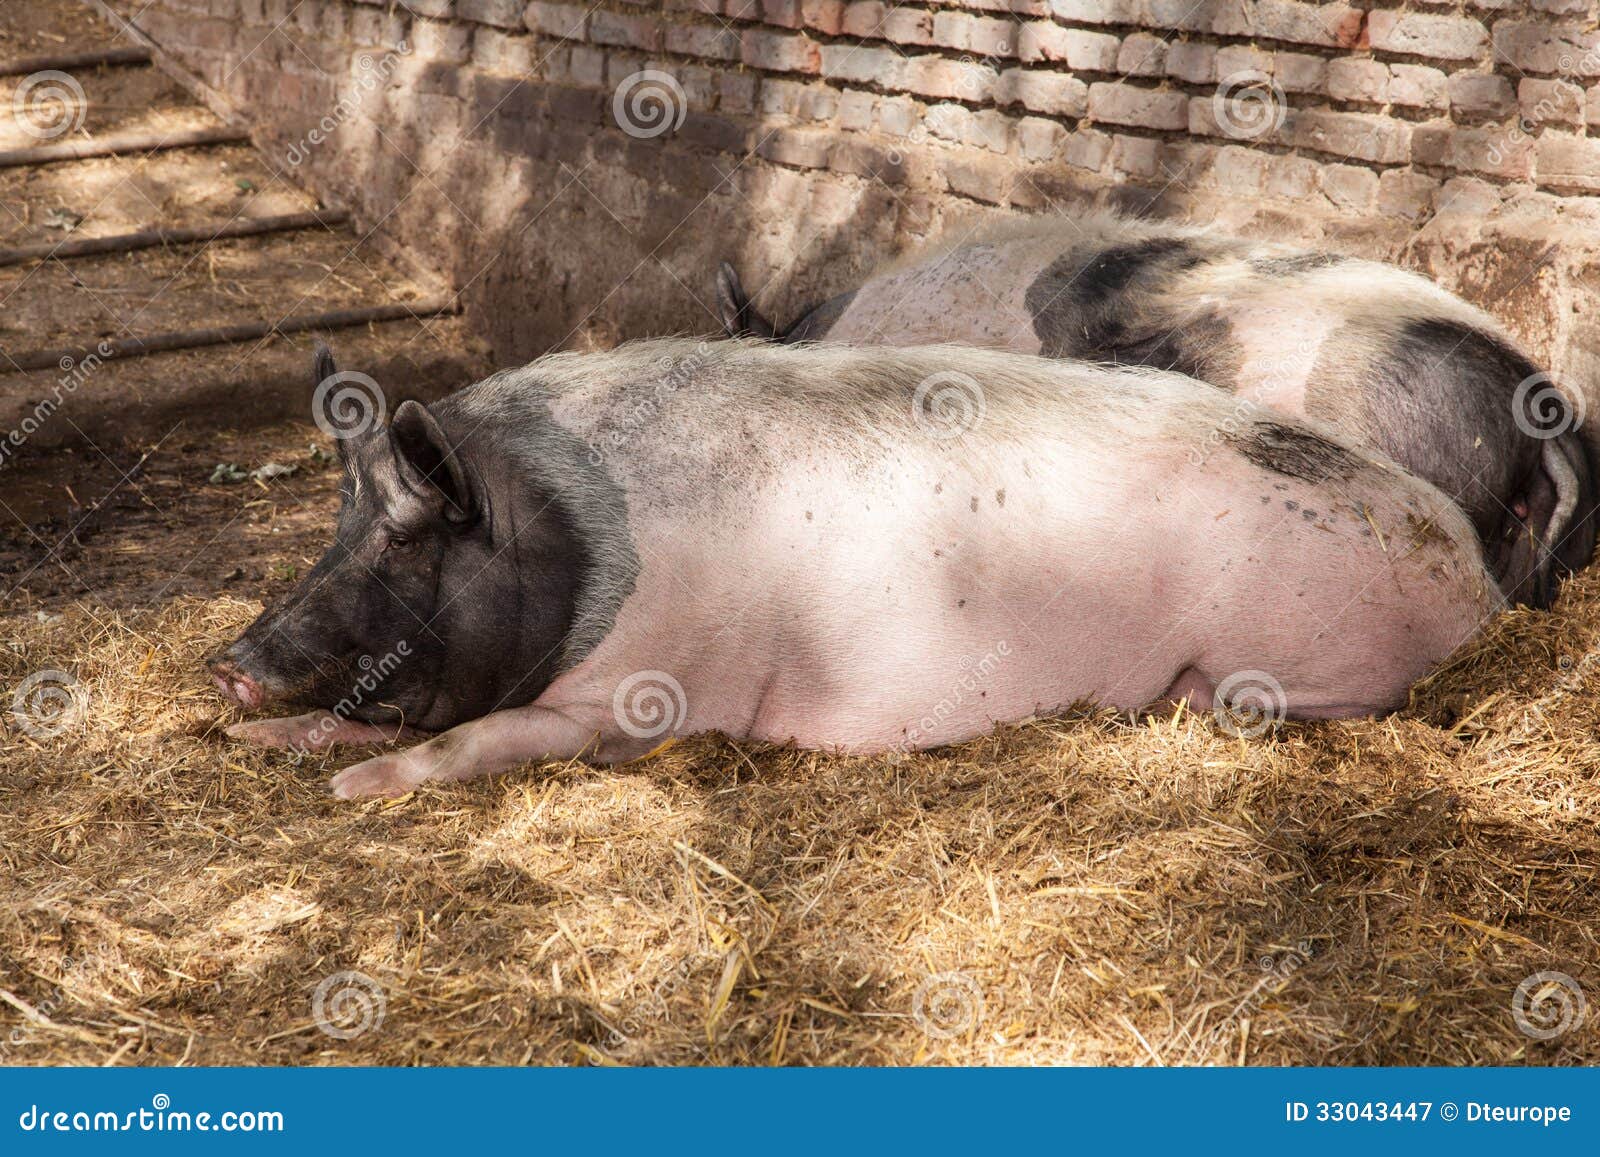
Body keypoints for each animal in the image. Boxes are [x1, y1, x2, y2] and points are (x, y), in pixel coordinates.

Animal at [210, 339, 1499, 799]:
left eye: (404, 534)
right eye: (340, 519)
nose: (228, 660)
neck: (578, 548)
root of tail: (1479, 576)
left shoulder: (643, 695)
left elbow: (474, 738)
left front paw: (350, 790)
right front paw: (272, 742)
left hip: (1285, 653)